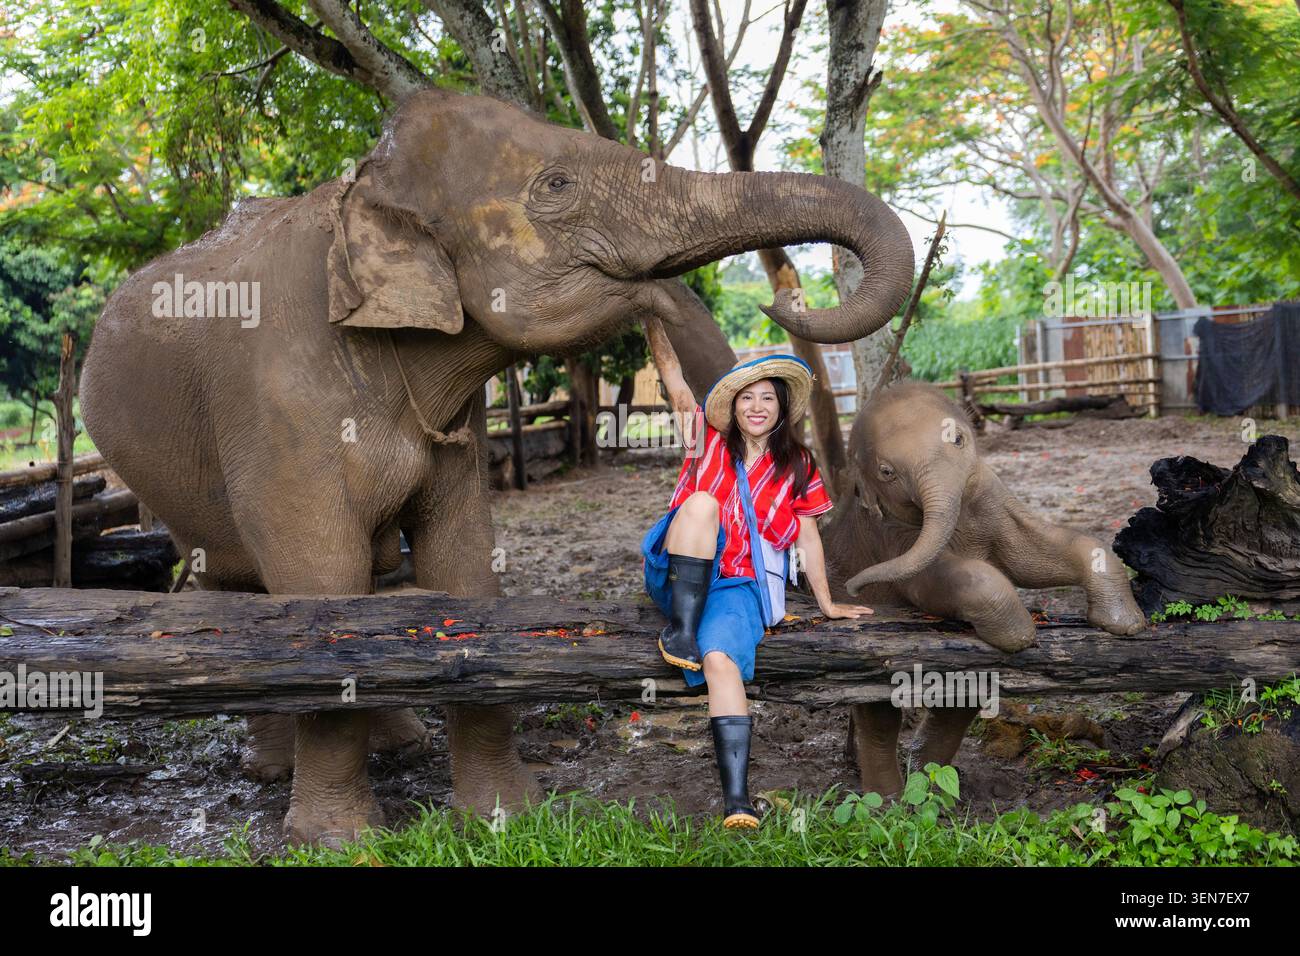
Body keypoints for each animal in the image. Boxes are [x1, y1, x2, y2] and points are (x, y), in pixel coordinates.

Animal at [79, 85, 916, 845]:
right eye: (556, 186)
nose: (784, 298)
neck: (361, 189)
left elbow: (462, 560)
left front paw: (503, 816)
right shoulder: (279, 401)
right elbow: (320, 582)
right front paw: (340, 845)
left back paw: (395, 744)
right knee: (241, 581)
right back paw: (273, 770)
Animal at [819, 381, 1147, 798]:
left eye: (958, 439)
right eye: (887, 472)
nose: (853, 587)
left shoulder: (989, 493)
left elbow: (1030, 553)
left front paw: (1125, 623)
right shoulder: (888, 535)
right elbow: (937, 576)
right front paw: (1020, 636)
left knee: (959, 699)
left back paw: (930, 783)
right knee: (877, 711)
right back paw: (891, 797)